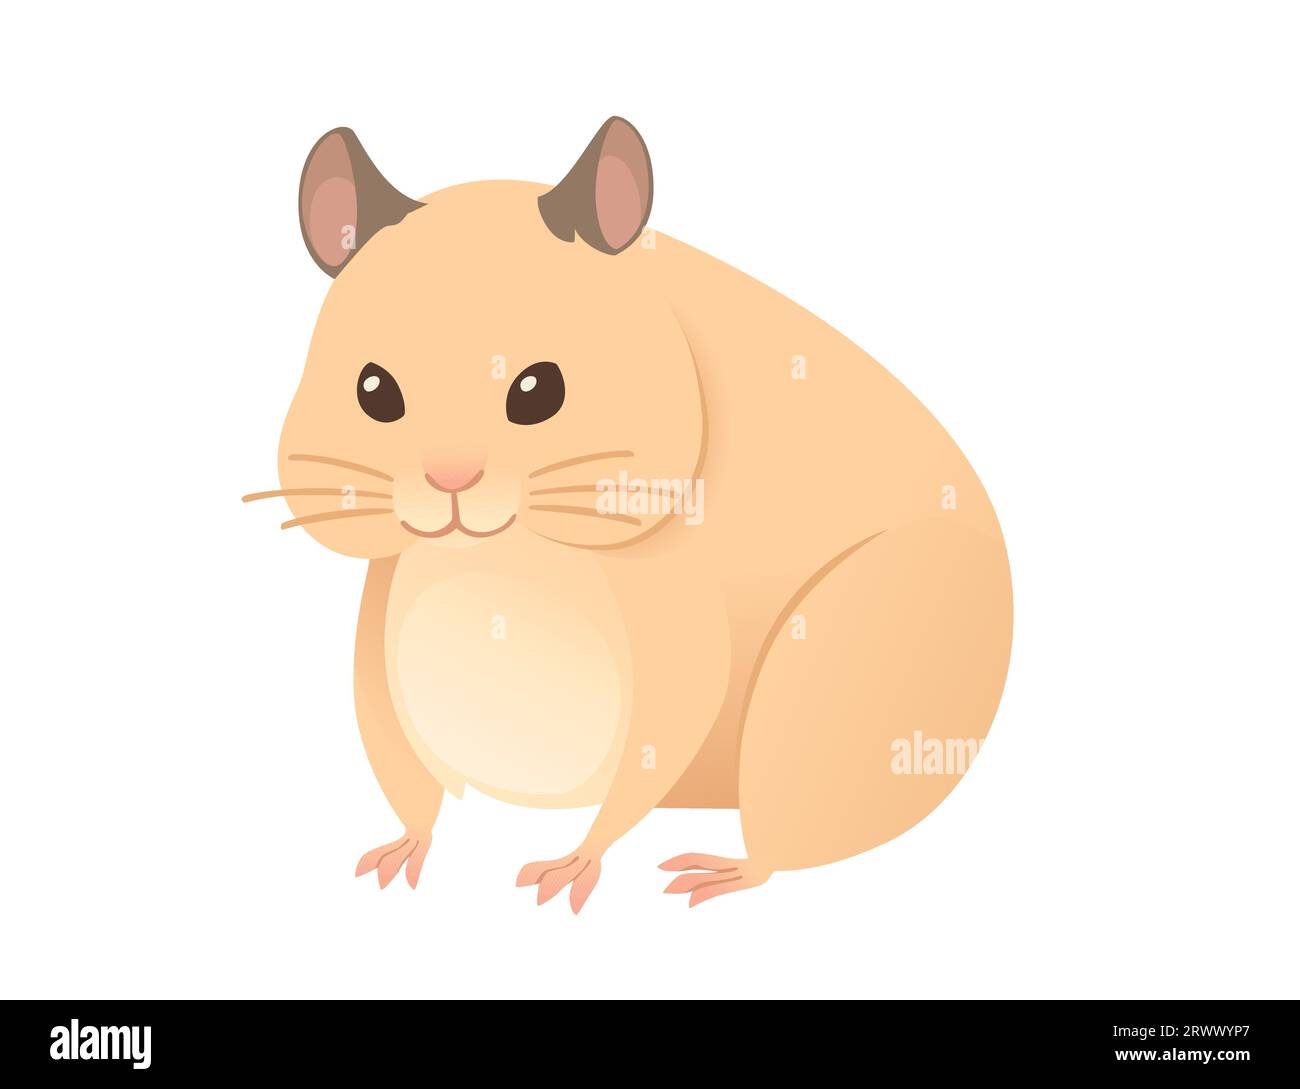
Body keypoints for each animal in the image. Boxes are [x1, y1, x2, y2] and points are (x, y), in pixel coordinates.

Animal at [245, 118, 1012, 911]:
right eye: (372, 390)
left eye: (539, 390)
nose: (449, 480)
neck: (504, 551)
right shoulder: (384, 604)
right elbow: (400, 765)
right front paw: (402, 851)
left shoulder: (675, 623)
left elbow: (649, 756)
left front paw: (571, 866)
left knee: (779, 839)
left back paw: (724, 870)